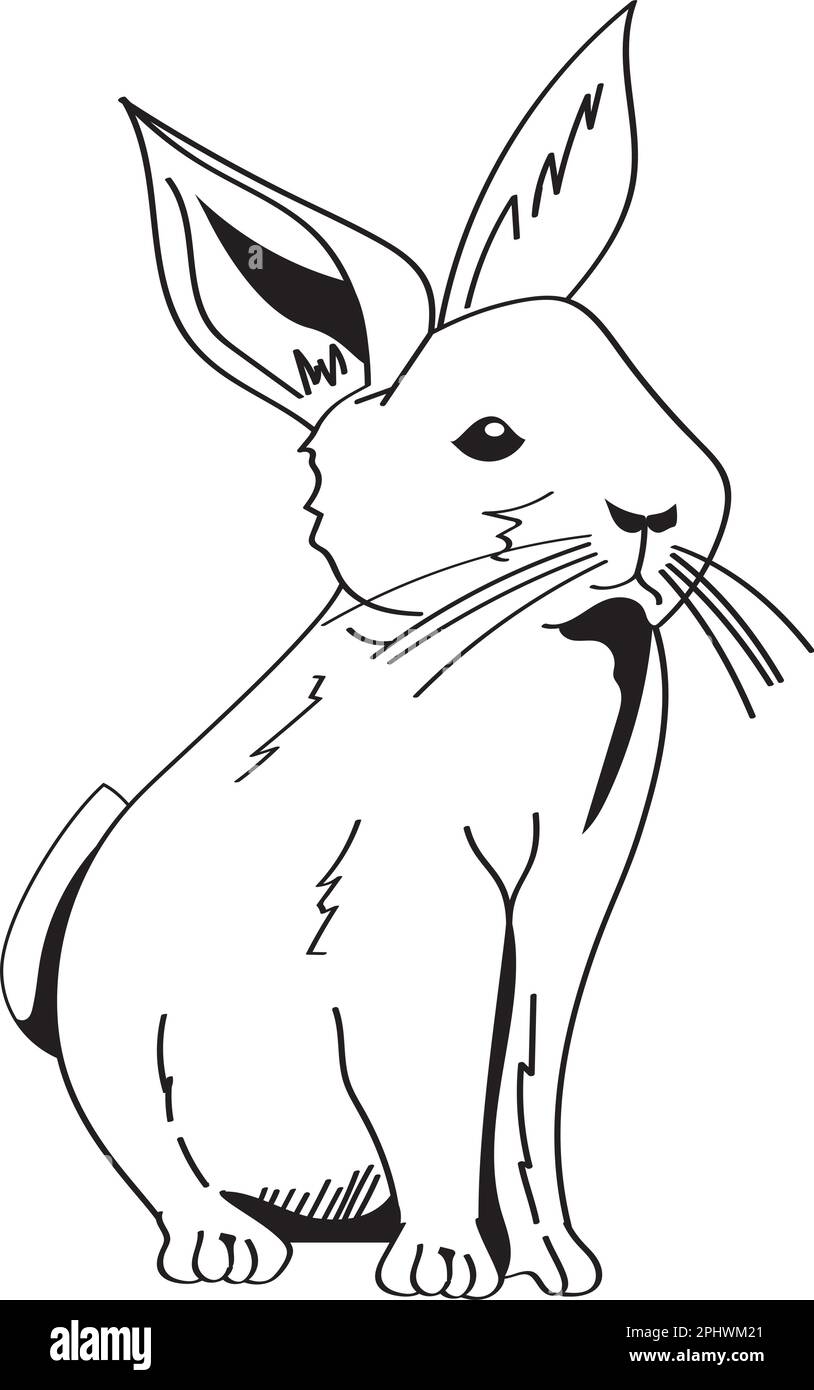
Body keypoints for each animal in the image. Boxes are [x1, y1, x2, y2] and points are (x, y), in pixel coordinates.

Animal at [2, 3, 809, 1299]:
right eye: (489, 437)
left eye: (637, 379)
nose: (661, 509)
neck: (516, 626)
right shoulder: (420, 909)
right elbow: (434, 1086)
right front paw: (444, 1267)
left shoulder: (558, 911)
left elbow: (525, 1092)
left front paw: (557, 1263)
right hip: (120, 1032)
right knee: (150, 1154)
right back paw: (229, 1245)